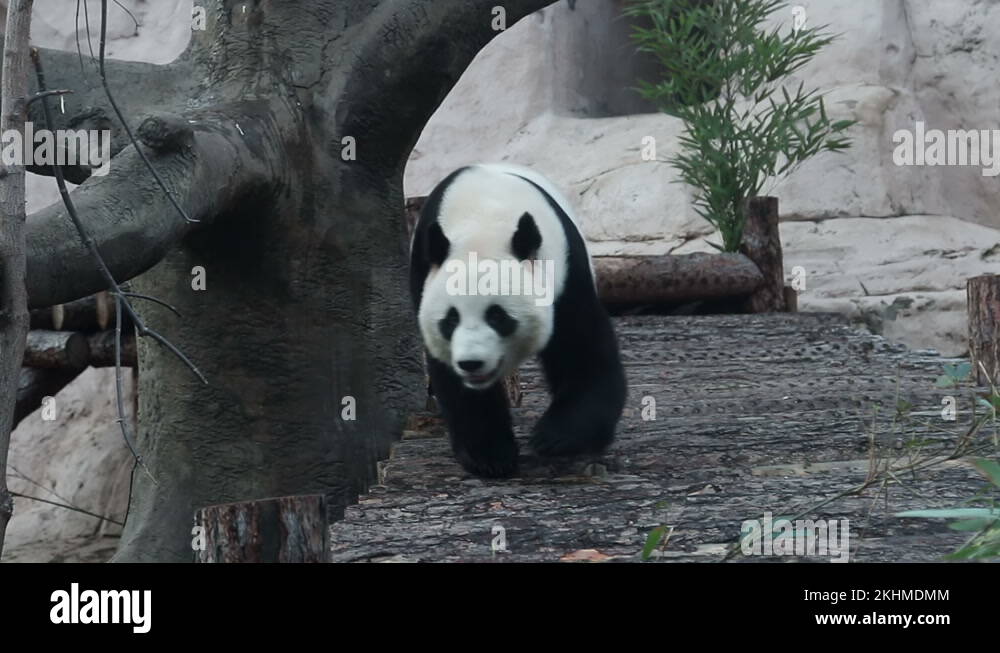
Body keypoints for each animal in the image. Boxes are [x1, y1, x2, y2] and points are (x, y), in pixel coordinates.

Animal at [409, 163, 627, 478]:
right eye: (450, 320)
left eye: (497, 316)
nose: (472, 363)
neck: (483, 221)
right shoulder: (423, 275)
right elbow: (450, 377)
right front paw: (489, 455)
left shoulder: (565, 270)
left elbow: (582, 351)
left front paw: (556, 437)